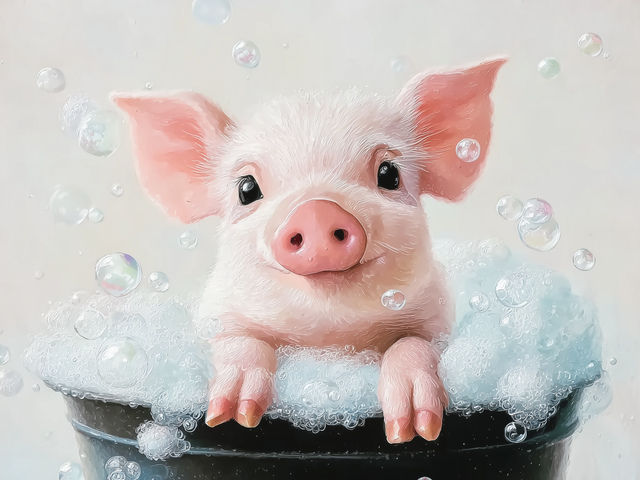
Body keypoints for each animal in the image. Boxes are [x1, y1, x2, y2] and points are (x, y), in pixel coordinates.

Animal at [111, 57, 506, 444]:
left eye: (389, 174)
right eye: (246, 189)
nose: (317, 211)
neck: (327, 345)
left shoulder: (438, 322)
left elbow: (413, 344)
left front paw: (414, 429)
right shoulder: (215, 318)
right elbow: (241, 342)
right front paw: (230, 415)